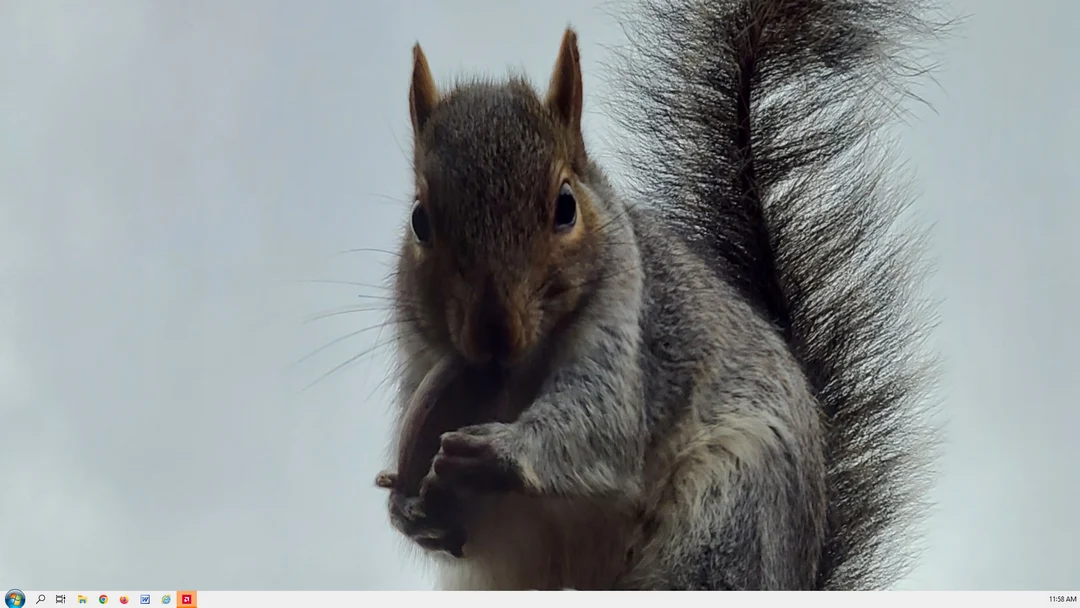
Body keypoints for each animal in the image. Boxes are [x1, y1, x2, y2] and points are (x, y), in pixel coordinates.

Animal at [375, 0, 943, 591]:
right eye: (419, 220)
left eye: (565, 207)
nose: (494, 334)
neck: (514, 378)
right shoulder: (422, 362)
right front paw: (407, 509)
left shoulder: (626, 337)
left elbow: (598, 426)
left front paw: (495, 451)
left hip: (726, 516)